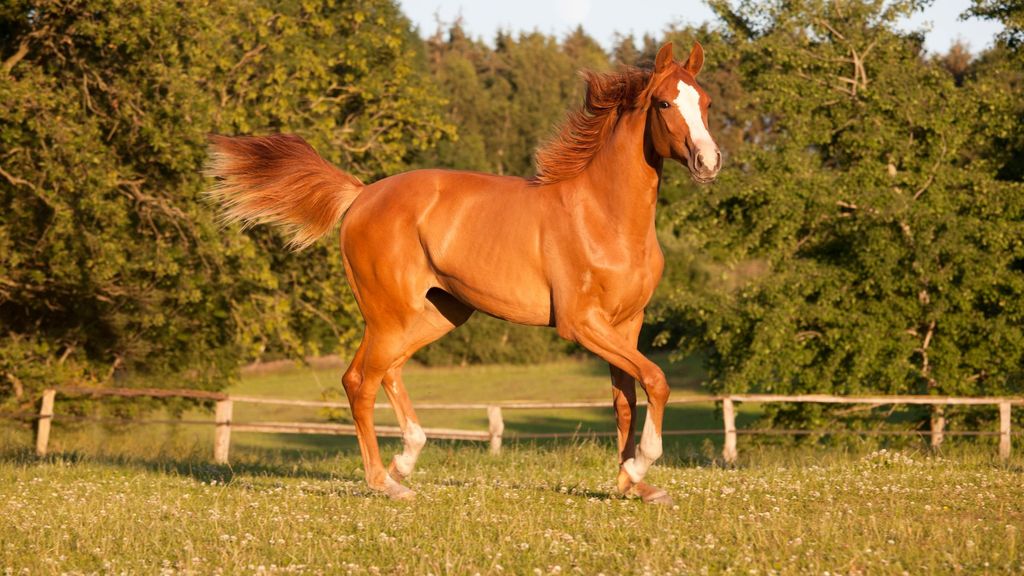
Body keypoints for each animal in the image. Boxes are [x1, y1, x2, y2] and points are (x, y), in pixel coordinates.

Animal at [206, 41, 720, 504]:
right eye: (664, 103)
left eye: (707, 101)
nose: (709, 162)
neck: (602, 216)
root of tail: (361, 194)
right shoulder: (581, 324)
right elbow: (657, 380)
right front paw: (639, 467)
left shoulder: (627, 323)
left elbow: (625, 400)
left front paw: (635, 485)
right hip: (390, 312)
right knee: (360, 381)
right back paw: (385, 482)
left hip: (434, 314)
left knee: (385, 371)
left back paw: (405, 461)